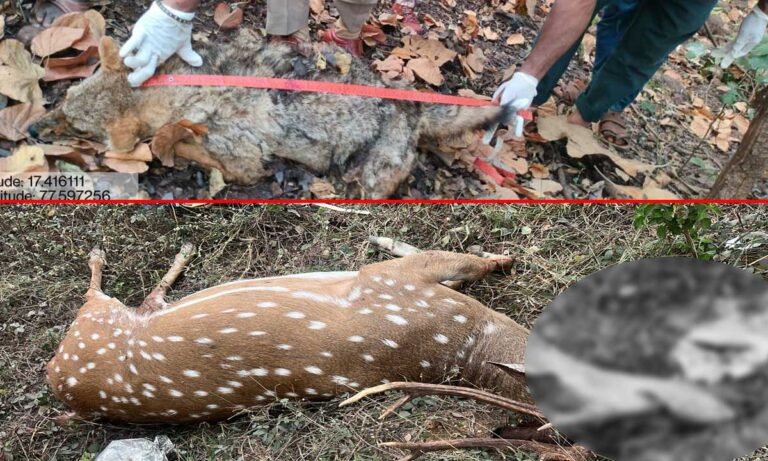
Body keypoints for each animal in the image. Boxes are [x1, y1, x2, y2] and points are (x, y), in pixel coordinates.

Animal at [47, 242, 531, 425]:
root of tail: (58, 380)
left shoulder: (395, 281)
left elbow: (461, 264)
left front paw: (500, 259)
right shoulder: (391, 279)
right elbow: (461, 265)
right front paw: (503, 258)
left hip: (93, 327)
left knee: (122, 298)